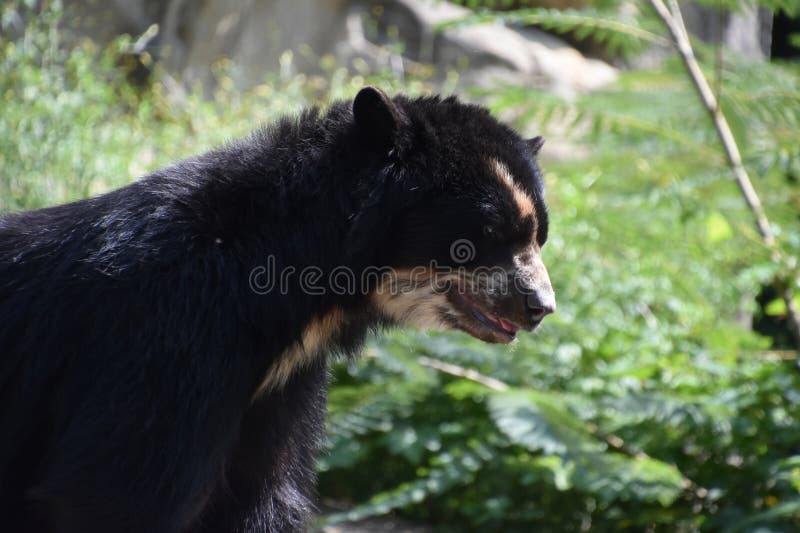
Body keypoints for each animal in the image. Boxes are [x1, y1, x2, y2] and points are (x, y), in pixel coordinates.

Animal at [0, 86, 555, 532]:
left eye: (538, 236)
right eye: (486, 235)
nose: (541, 306)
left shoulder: (284, 381)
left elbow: (262, 494)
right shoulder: (166, 337)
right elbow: (123, 489)